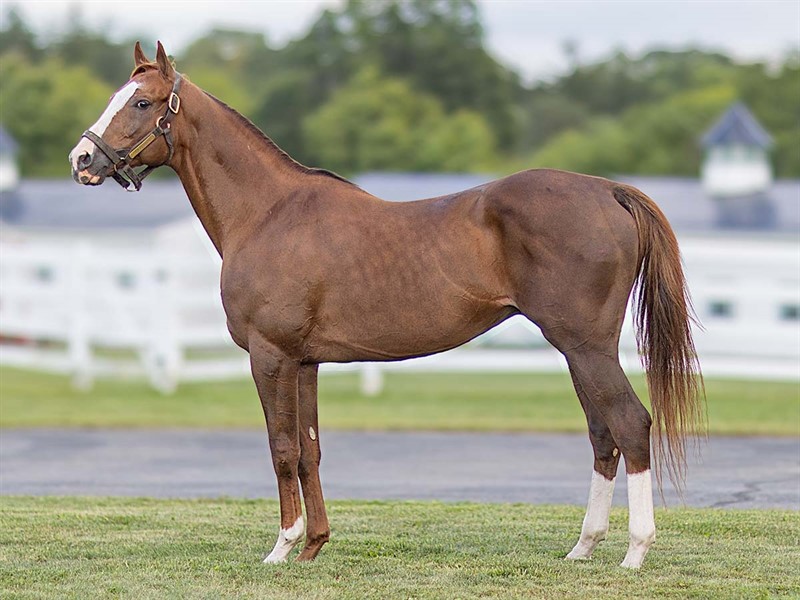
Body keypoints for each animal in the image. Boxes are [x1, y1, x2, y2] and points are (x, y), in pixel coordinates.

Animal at [69, 42, 704, 568]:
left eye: (142, 101)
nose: (82, 160)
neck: (269, 212)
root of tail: (608, 191)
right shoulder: (305, 361)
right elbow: (309, 450)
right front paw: (314, 547)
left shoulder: (270, 356)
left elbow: (280, 448)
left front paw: (281, 548)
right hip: (579, 351)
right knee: (603, 434)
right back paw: (583, 547)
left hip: (585, 346)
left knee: (631, 424)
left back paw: (634, 553)